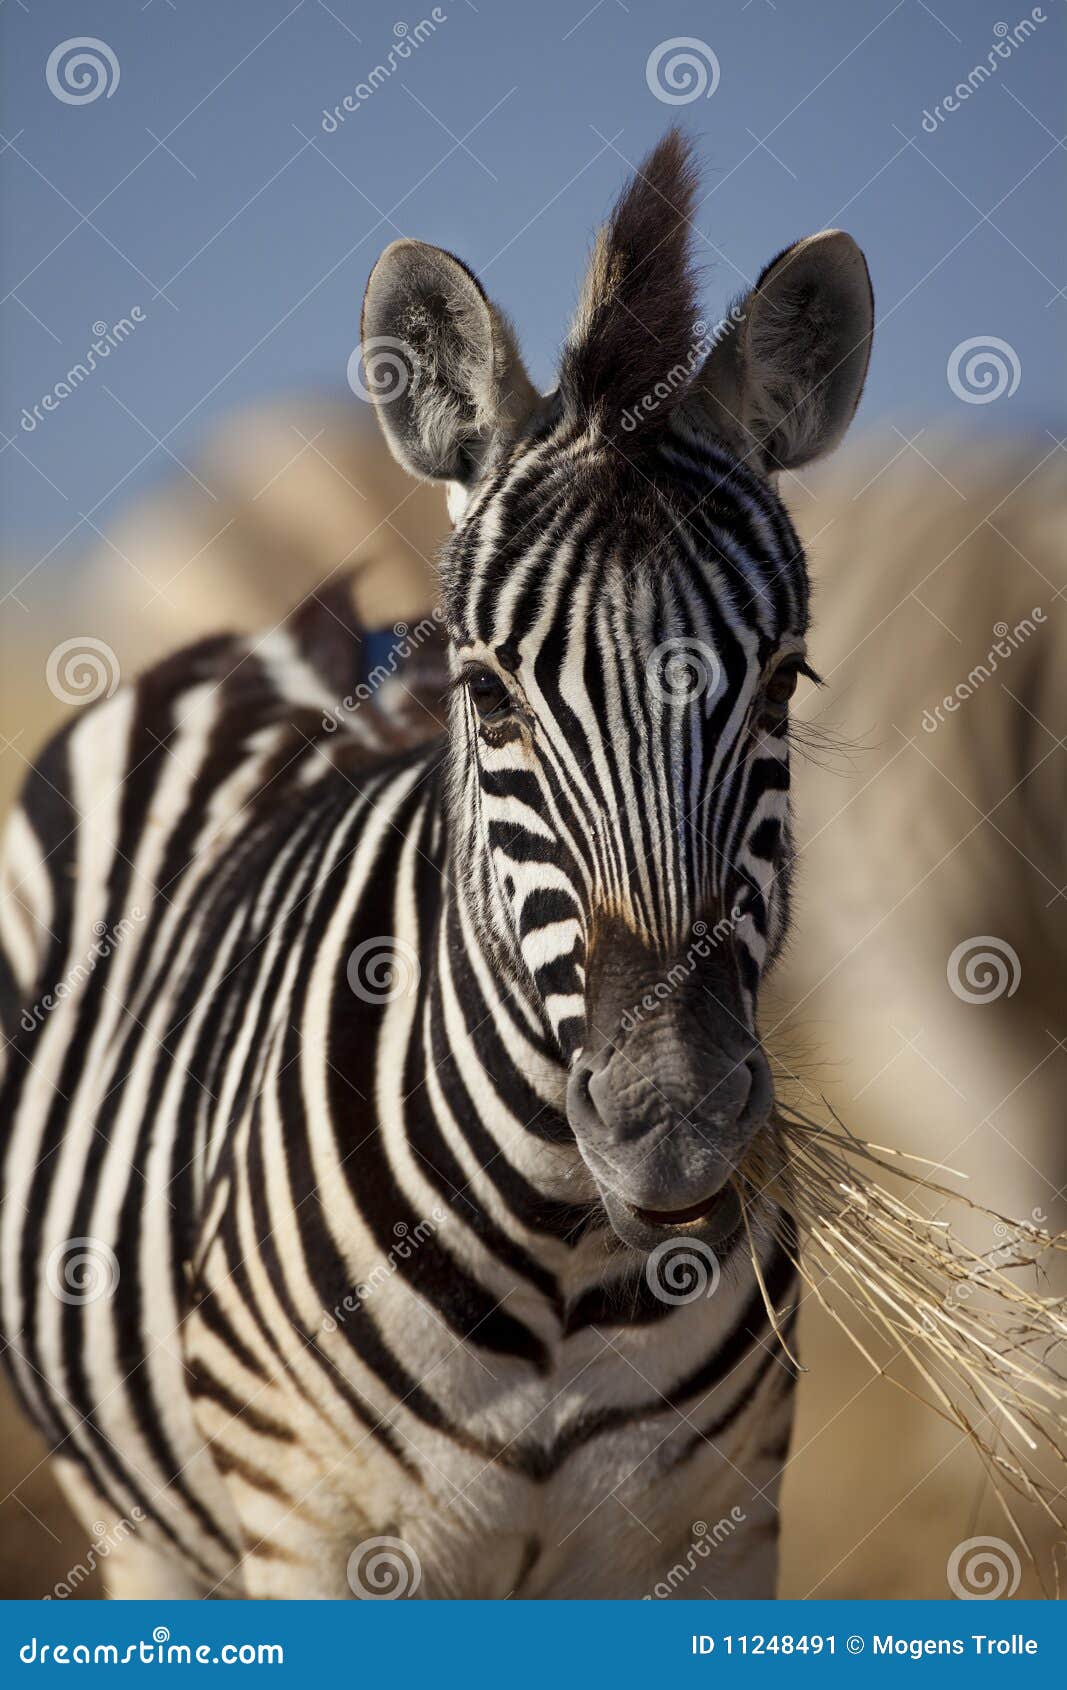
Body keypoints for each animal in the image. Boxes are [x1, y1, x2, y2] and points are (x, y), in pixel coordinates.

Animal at [0, 131, 873, 1599]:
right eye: (488, 696)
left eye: (778, 686)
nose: (674, 1118)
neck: (567, 1254)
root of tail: (310, 633)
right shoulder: (314, 1534)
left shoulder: (716, 1529)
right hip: (135, 1520)